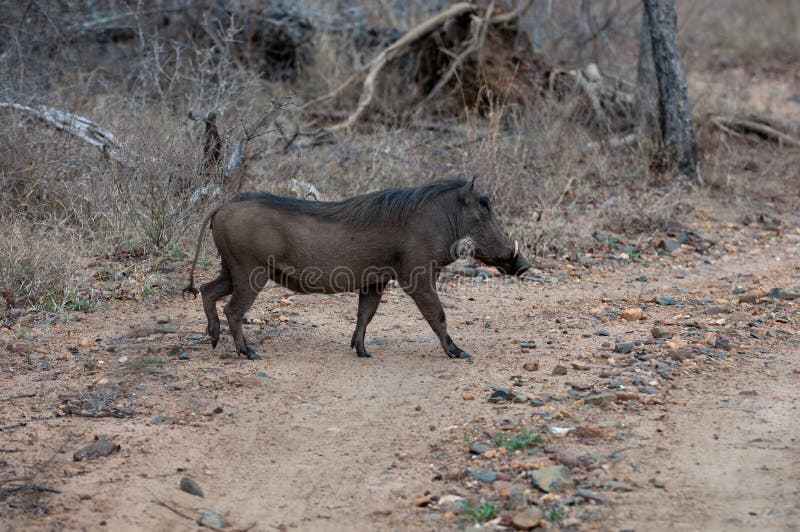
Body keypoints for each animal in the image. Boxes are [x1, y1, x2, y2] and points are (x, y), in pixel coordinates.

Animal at [184, 178, 531, 360]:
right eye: (484, 208)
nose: (524, 266)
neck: (441, 219)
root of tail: (223, 206)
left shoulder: (375, 281)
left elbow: (366, 314)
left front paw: (361, 351)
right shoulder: (417, 276)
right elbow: (437, 314)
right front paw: (457, 352)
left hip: (232, 269)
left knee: (208, 292)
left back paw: (213, 338)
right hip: (249, 272)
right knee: (233, 310)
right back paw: (248, 352)